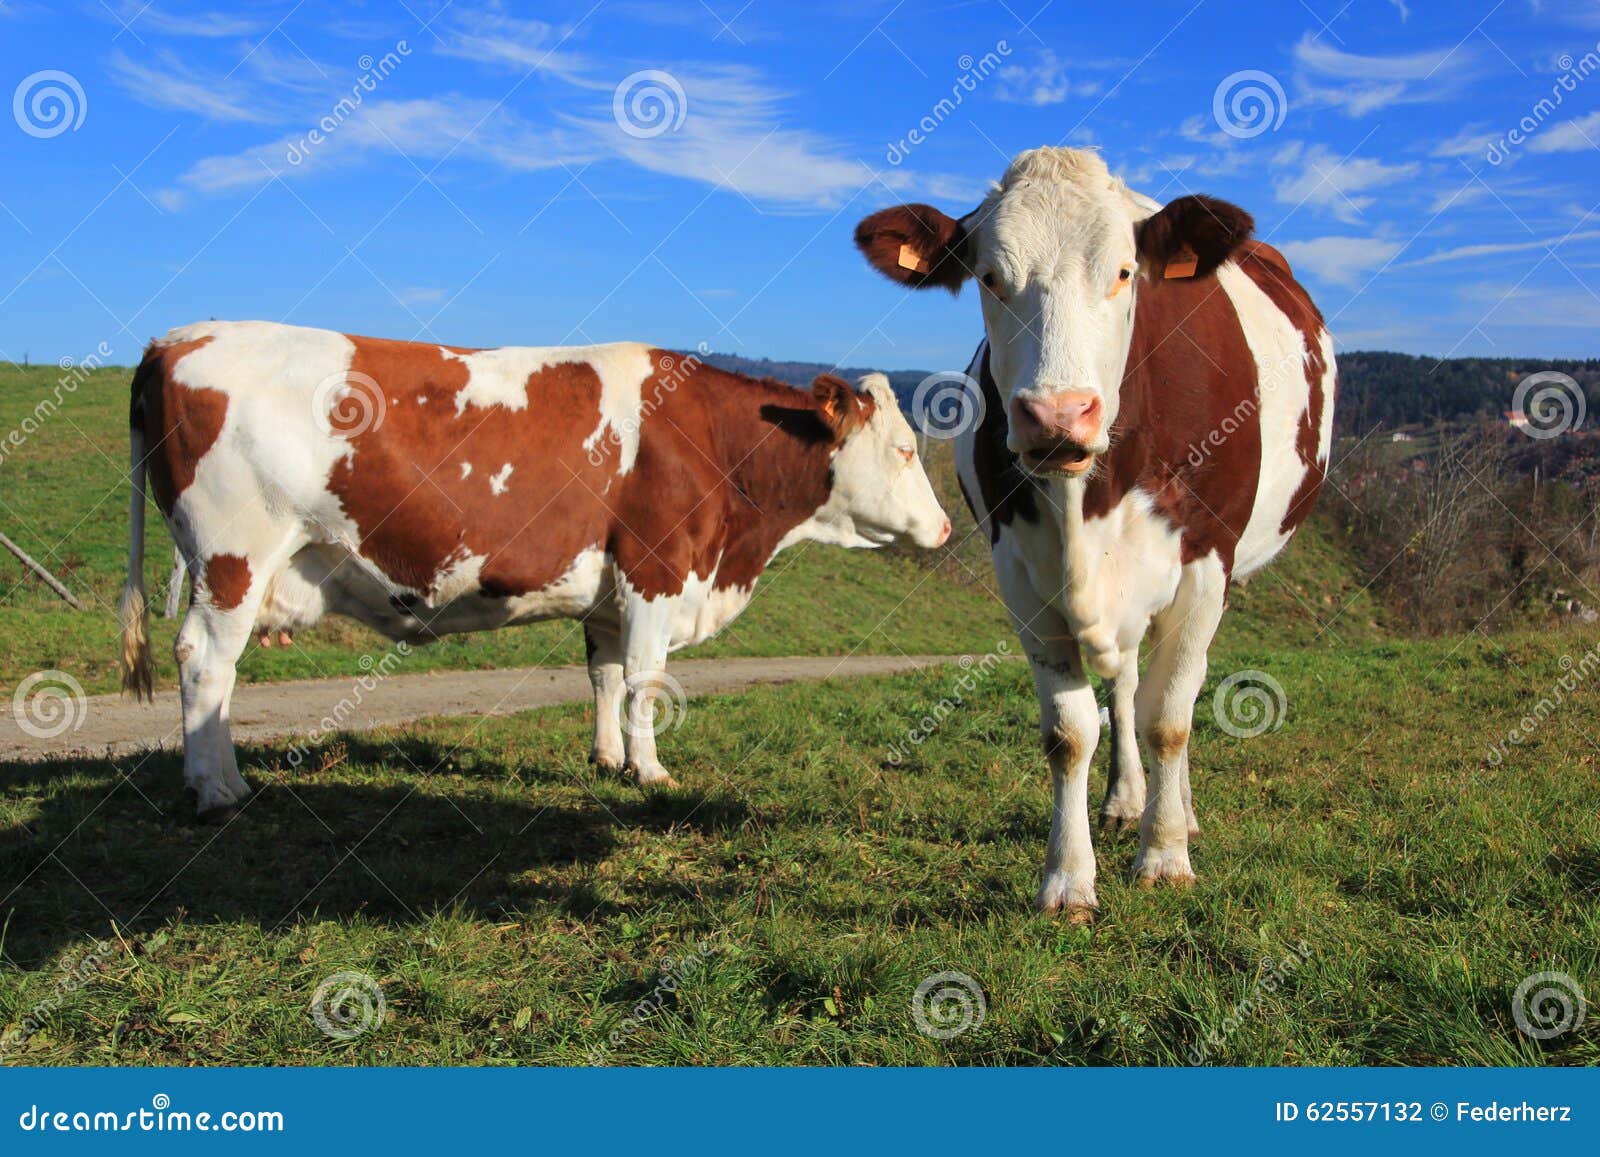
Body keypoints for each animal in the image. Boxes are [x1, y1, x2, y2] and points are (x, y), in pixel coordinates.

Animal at [117, 321, 951, 822]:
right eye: (906, 449)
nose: (945, 527)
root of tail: (177, 335)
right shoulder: (657, 565)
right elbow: (646, 676)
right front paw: (651, 771)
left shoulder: (612, 592)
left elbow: (606, 675)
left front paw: (608, 758)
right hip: (234, 556)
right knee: (206, 661)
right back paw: (219, 788)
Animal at [855, 148, 1335, 918]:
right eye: (990, 276)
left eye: (1124, 271)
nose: (1057, 416)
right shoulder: (1022, 575)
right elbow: (1071, 731)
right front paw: (1068, 878)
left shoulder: (1206, 563)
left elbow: (1172, 718)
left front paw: (1165, 855)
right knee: (1129, 684)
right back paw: (1127, 799)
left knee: (1173, 689)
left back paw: (1177, 811)